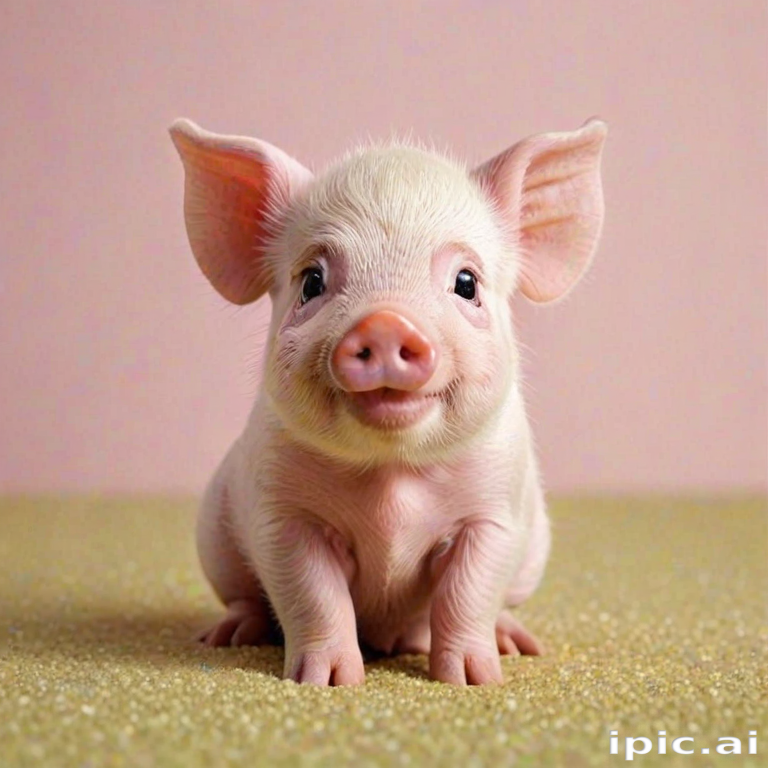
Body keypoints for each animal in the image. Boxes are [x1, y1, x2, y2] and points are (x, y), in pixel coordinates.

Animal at [169, 116, 607, 686]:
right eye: (312, 281)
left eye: (466, 283)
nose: (384, 321)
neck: (391, 477)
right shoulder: (283, 513)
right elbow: (314, 594)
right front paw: (327, 682)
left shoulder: (496, 513)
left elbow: (469, 592)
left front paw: (474, 679)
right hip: (216, 539)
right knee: (244, 597)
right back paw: (228, 637)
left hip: (533, 554)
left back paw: (514, 643)